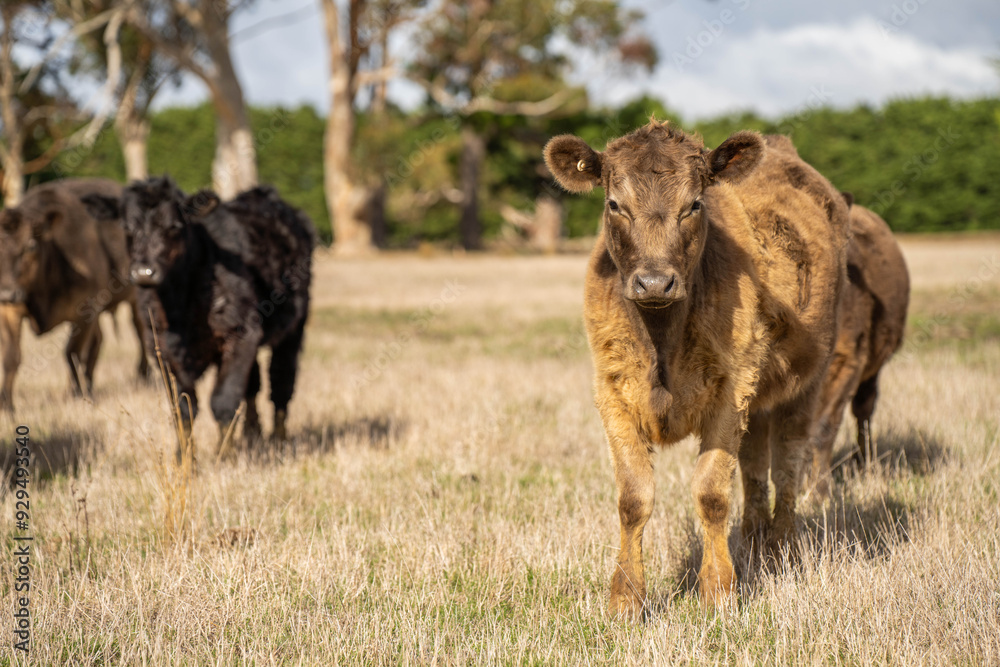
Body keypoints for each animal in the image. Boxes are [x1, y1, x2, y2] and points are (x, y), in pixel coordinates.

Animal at [0, 178, 150, 413]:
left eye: (30, 246)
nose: (6, 292)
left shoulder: (85, 311)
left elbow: (72, 352)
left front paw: (76, 394)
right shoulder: (9, 310)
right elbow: (11, 356)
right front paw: (7, 404)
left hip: (137, 297)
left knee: (140, 331)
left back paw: (143, 376)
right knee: (98, 342)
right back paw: (90, 387)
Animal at [82, 177, 315, 459]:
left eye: (174, 226)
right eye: (127, 227)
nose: (145, 272)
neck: (179, 305)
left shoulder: (241, 333)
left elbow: (224, 400)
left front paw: (223, 455)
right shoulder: (159, 346)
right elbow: (183, 409)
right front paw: (184, 460)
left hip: (294, 325)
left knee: (281, 381)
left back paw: (278, 440)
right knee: (253, 385)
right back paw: (252, 435)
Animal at [544, 122, 849, 615]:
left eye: (694, 204)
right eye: (614, 204)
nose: (654, 281)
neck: (662, 345)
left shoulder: (731, 390)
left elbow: (711, 493)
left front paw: (719, 592)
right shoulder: (612, 391)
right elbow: (633, 497)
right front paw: (626, 597)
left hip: (808, 384)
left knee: (787, 465)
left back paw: (781, 549)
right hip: (758, 401)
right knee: (755, 466)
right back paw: (754, 542)